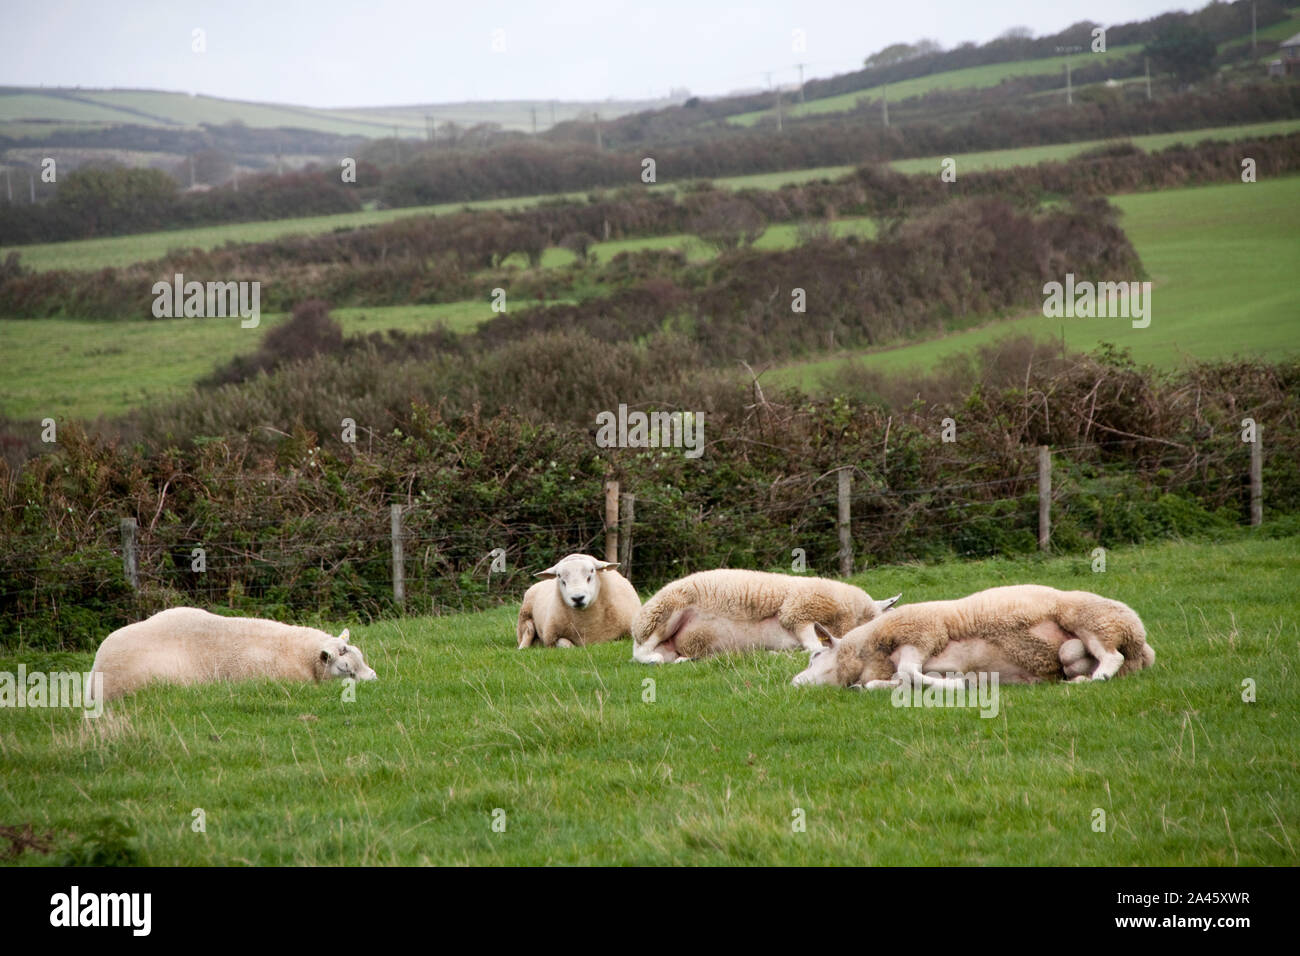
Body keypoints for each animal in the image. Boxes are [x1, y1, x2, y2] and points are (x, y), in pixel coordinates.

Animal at [632, 569, 900, 663]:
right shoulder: (798, 613)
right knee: (641, 654)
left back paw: (688, 659)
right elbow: (813, 645)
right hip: (664, 614)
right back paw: (654, 658)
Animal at [791, 584, 1155, 689]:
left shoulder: (922, 635)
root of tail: (1142, 641)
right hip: (1074, 650)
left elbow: (908, 671)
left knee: (1112, 656)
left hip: (1094, 623)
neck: (868, 653)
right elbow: (888, 682)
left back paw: (1095, 680)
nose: (793, 682)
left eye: (815, 654)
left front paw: (958, 685)